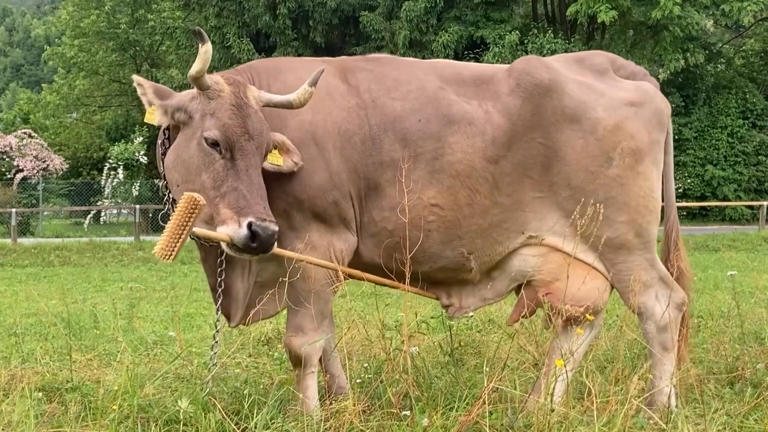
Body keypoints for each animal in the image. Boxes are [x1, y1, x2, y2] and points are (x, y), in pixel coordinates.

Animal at [131, 27, 691, 413]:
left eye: (262, 149)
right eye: (213, 142)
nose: (261, 232)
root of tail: (612, 64)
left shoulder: (316, 244)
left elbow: (304, 343)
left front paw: (310, 414)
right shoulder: (311, 263)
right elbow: (328, 337)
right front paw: (342, 402)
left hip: (623, 243)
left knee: (662, 307)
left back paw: (656, 408)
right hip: (581, 257)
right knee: (578, 324)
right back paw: (538, 407)